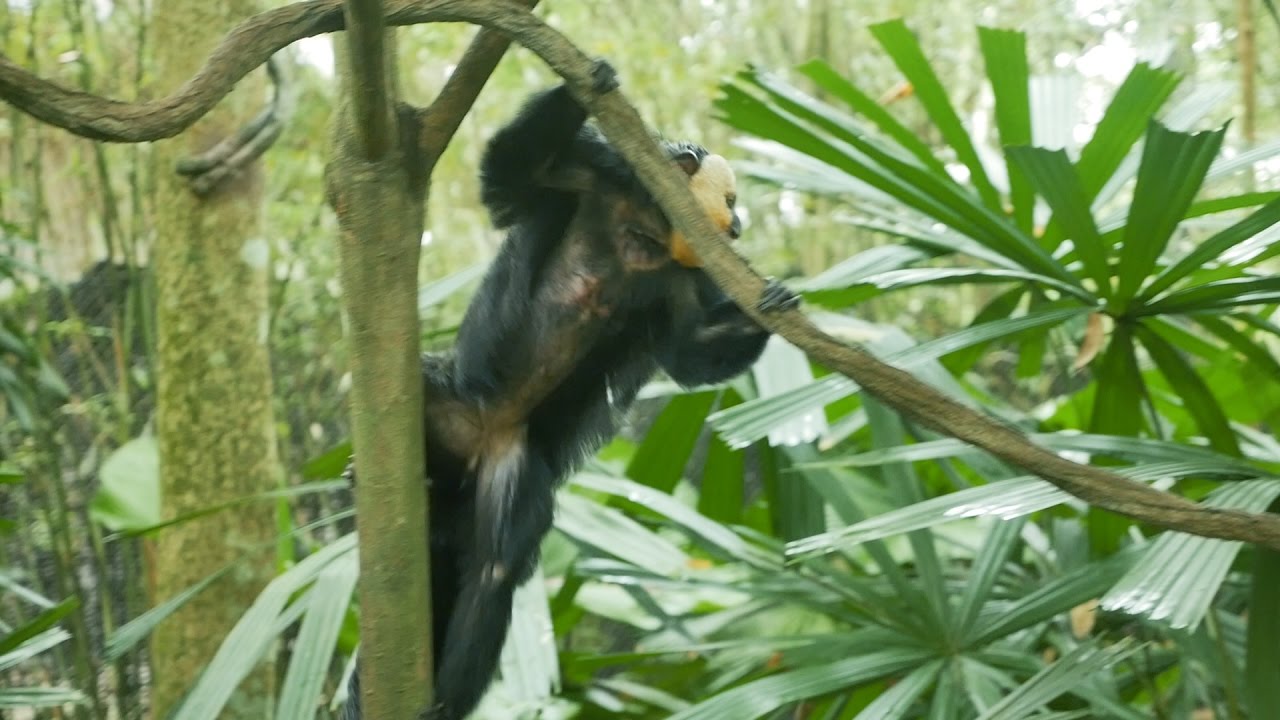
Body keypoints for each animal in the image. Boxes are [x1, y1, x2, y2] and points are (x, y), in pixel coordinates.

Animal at [342, 60, 797, 720]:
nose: (736, 227)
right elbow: (510, 171)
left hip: (511, 457)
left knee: (494, 566)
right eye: (733, 201)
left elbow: (686, 352)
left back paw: (445, 697)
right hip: (443, 402)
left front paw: (772, 306)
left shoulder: (682, 273)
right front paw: (593, 83)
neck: (649, 226)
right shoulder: (593, 176)